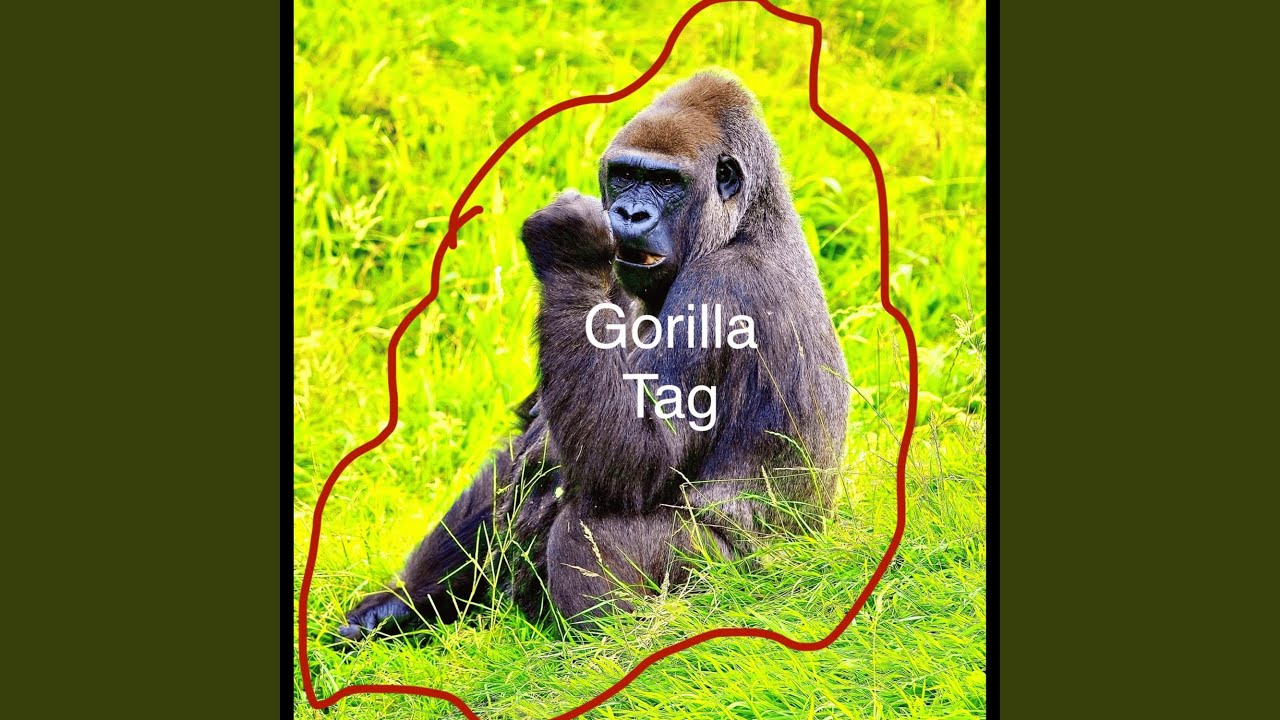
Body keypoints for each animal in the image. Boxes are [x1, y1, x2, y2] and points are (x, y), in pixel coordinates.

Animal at [340, 71, 849, 639]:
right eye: (626, 176)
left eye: (667, 182)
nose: (629, 213)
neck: (747, 222)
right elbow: (530, 437)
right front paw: (402, 604)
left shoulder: (721, 290)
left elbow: (638, 458)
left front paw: (567, 243)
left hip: (739, 584)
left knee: (598, 519)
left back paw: (615, 644)